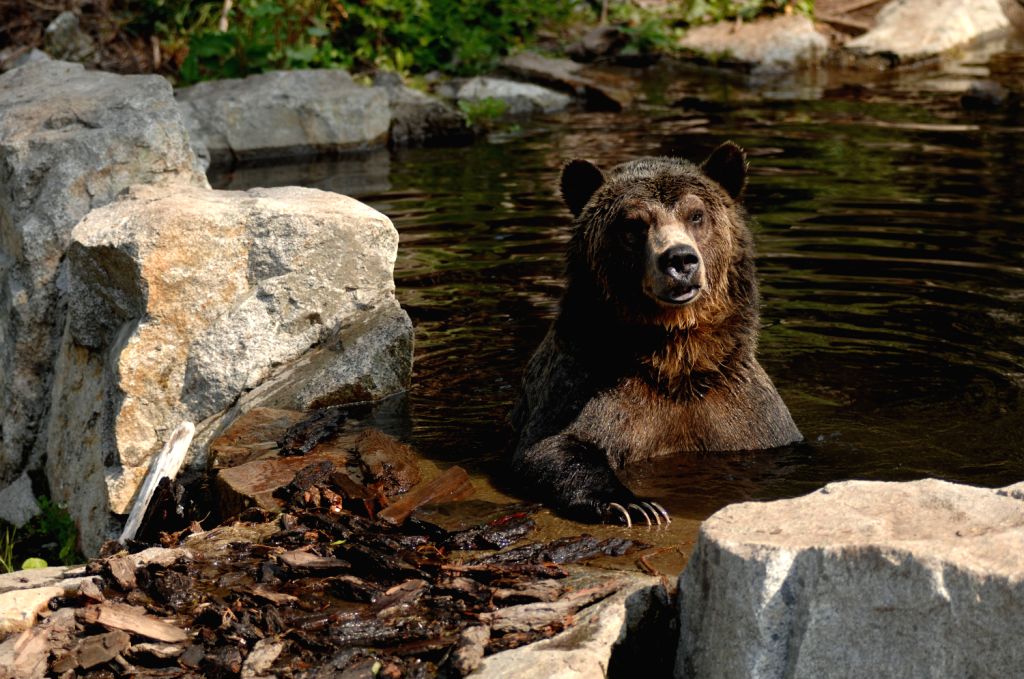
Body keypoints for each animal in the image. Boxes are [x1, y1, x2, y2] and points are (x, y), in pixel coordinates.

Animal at [510, 141, 801, 526]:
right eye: (633, 224)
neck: (676, 359)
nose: (679, 260)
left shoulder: (743, 414)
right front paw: (634, 505)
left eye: (696, 215)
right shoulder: (588, 382)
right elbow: (554, 446)